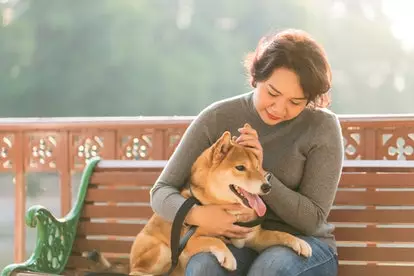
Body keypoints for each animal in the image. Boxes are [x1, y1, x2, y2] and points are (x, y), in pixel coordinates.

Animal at [129, 125, 310, 276]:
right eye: (240, 167)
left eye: (258, 167)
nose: (267, 187)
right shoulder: (188, 242)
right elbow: (214, 239)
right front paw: (227, 256)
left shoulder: (254, 238)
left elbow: (279, 233)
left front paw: (299, 242)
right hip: (163, 251)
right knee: (138, 272)